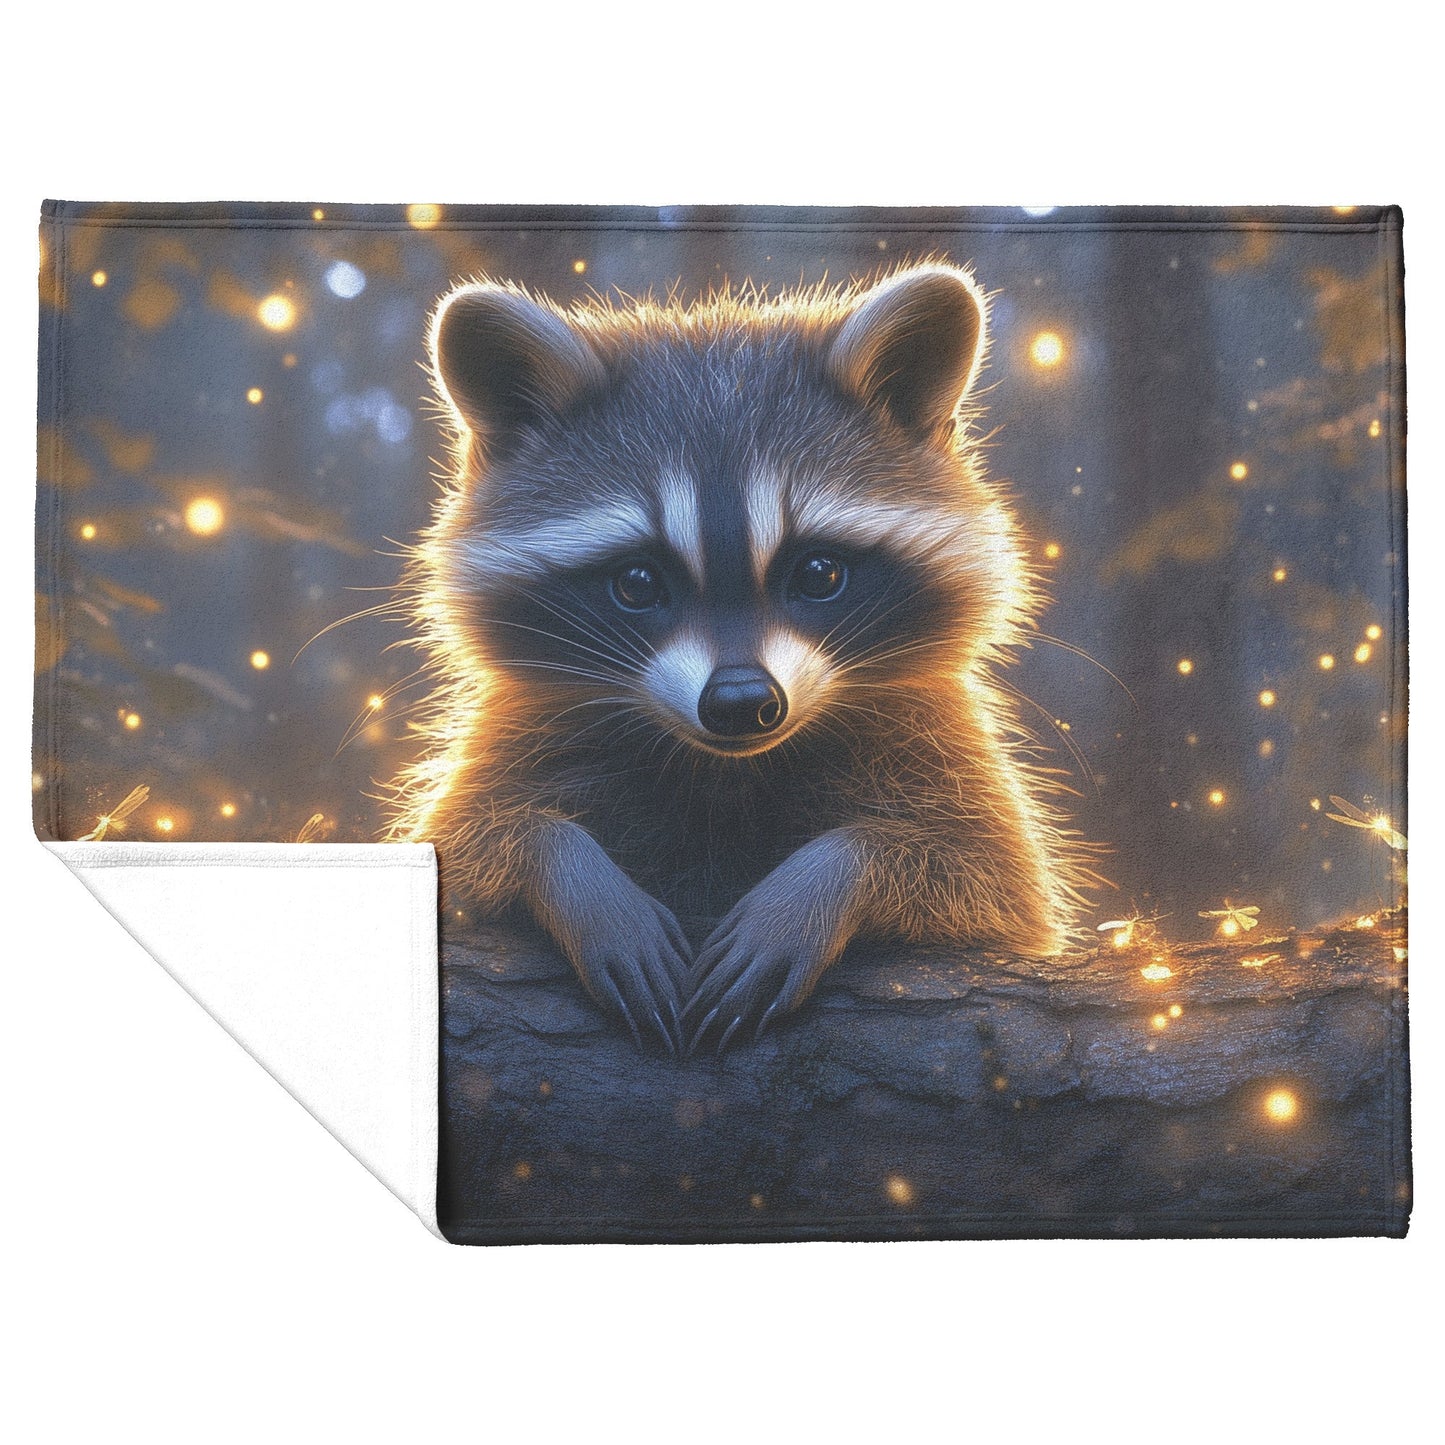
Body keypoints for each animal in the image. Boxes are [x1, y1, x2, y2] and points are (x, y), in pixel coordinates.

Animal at [388, 262, 1094, 1056]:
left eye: (818, 573)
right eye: (638, 583)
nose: (739, 702)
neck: (724, 767)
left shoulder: (939, 749)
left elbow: (993, 883)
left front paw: (823, 883)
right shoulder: (521, 738)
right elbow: (475, 841)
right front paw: (575, 876)